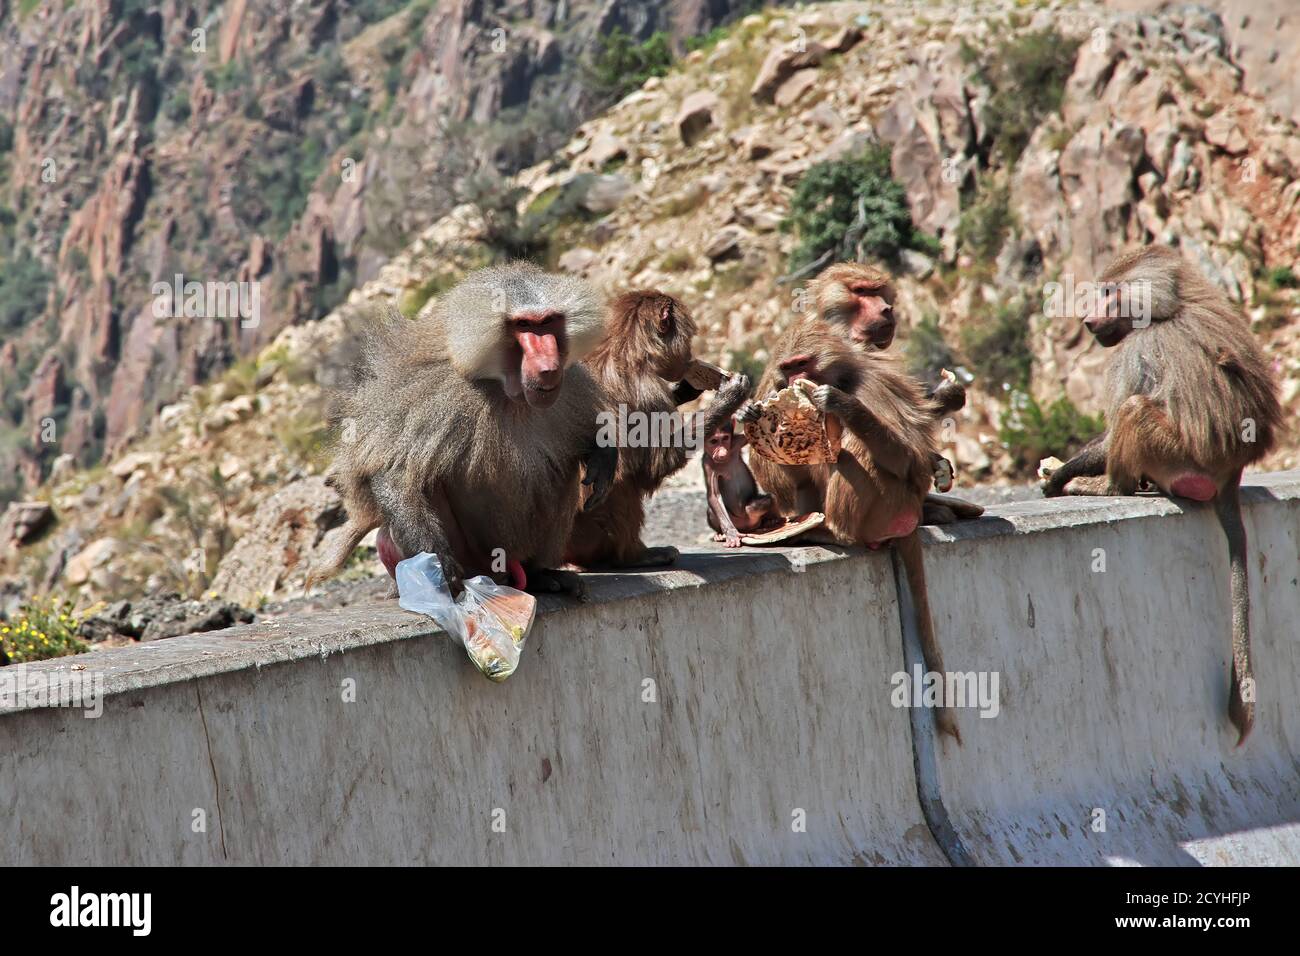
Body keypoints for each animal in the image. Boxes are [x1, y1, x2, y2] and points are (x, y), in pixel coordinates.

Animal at [306, 262, 617, 599]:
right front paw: (437, 560)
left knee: (564, 467)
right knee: (423, 477)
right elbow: (392, 469)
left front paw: (603, 456)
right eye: (523, 326)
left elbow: (586, 437)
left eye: (548, 322)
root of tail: (504, 574)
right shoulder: (438, 393)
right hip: (472, 558)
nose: (548, 367)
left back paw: (539, 575)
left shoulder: (570, 382)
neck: (508, 392)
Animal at [564, 290, 703, 568]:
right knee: (622, 479)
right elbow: (658, 465)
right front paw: (728, 398)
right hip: (591, 537)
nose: (690, 358)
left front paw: (684, 390)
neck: (624, 349)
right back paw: (635, 557)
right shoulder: (648, 391)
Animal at [699, 373, 783, 547]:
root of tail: (746, 528)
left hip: (751, 518)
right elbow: (714, 496)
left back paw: (770, 520)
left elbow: (750, 434)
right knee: (711, 510)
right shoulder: (707, 464)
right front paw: (730, 534)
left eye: (724, 439)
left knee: (765, 500)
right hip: (734, 521)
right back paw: (720, 534)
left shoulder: (735, 443)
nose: (722, 451)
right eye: (713, 441)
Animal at [743, 319, 961, 741]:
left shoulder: (872, 386)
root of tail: (909, 517)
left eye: (803, 364)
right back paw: (807, 525)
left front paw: (841, 404)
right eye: (788, 367)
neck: (843, 376)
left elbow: (910, 459)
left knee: (855, 452)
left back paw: (835, 532)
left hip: (891, 507)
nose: (794, 380)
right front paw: (748, 414)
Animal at [1043, 244, 1283, 745]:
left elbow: (1119, 418)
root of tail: (1230, 472)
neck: (1168, 308)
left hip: (1176, 455)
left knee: (1135, 412)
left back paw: (1107, 486)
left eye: (1109, 293)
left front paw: (1061, 476)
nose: (1087, 317)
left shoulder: (1138, 347)